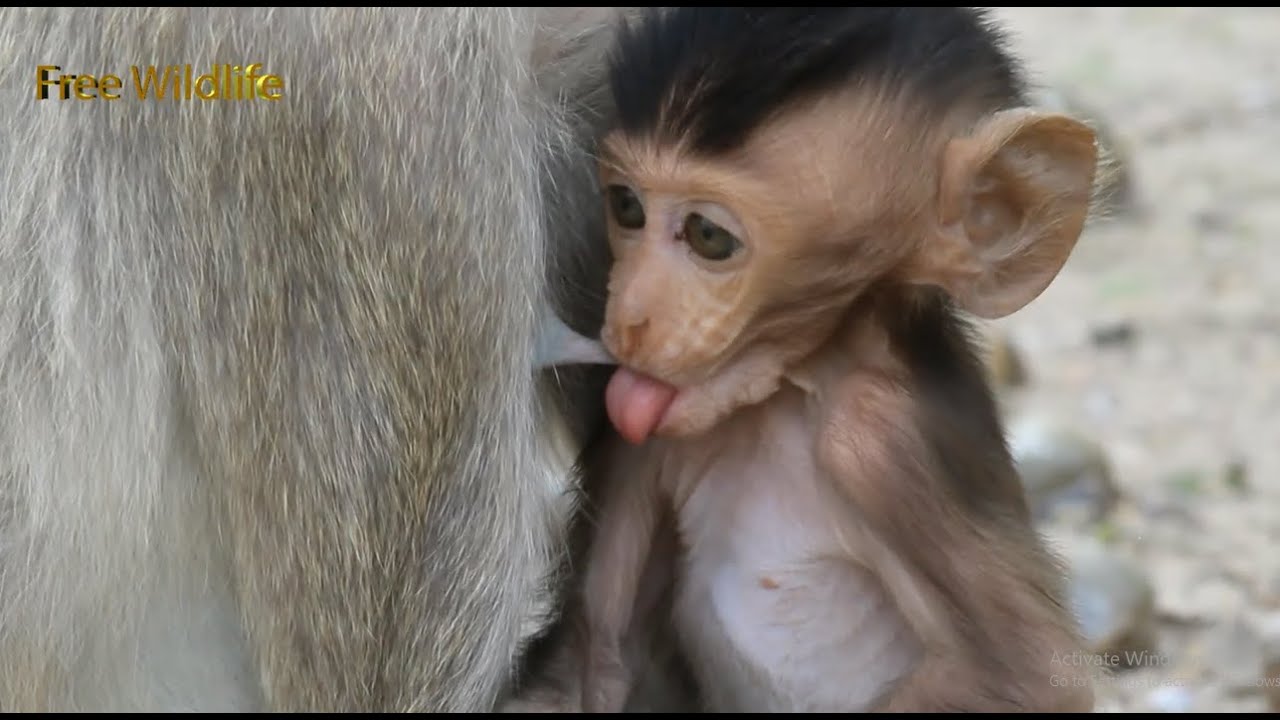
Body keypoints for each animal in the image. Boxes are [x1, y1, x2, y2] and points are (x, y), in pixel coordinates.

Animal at [564, 7, 1101, 713]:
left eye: (709, 237)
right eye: (627, 206)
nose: (627, 318)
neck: (798, 390)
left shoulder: (879, 440)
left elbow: (1030, 676)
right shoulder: (651, 434)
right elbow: (602, 653)